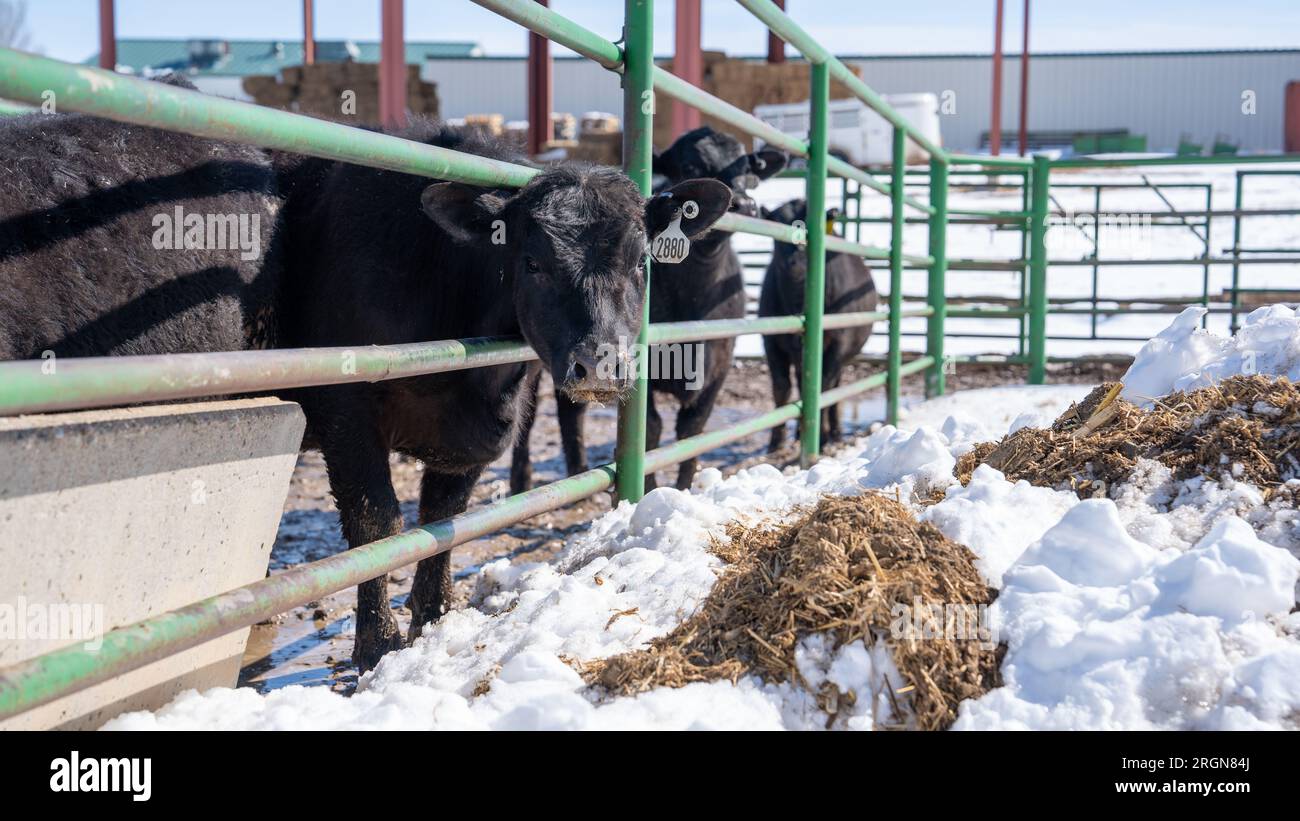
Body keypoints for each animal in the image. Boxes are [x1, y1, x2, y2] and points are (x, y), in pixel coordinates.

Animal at [274, 121, 732, 671]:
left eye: (641, 261)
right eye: (532, 263)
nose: (602, 365)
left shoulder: (479, 431)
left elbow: (441, 518)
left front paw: (433, 619)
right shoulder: (346, 411)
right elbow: (376, 522)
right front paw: (377, 644)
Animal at [509, 126, 787, 493]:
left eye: (749, 167)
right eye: (689, 165)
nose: (743, 203)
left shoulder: (720, 365)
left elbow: (692, 430)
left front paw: (682, 488)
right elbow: (651, 429)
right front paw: (650, 486)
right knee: (530, 410)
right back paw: (521, 480)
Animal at [759, 198, 878, 452]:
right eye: (778, 224)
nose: (795, 261)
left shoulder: (837, 344)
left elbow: (822, 388)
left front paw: (821, 437)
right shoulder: (771, 341)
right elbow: (781, 387)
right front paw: (776, 441)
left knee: (832, 387)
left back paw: (834, 432)